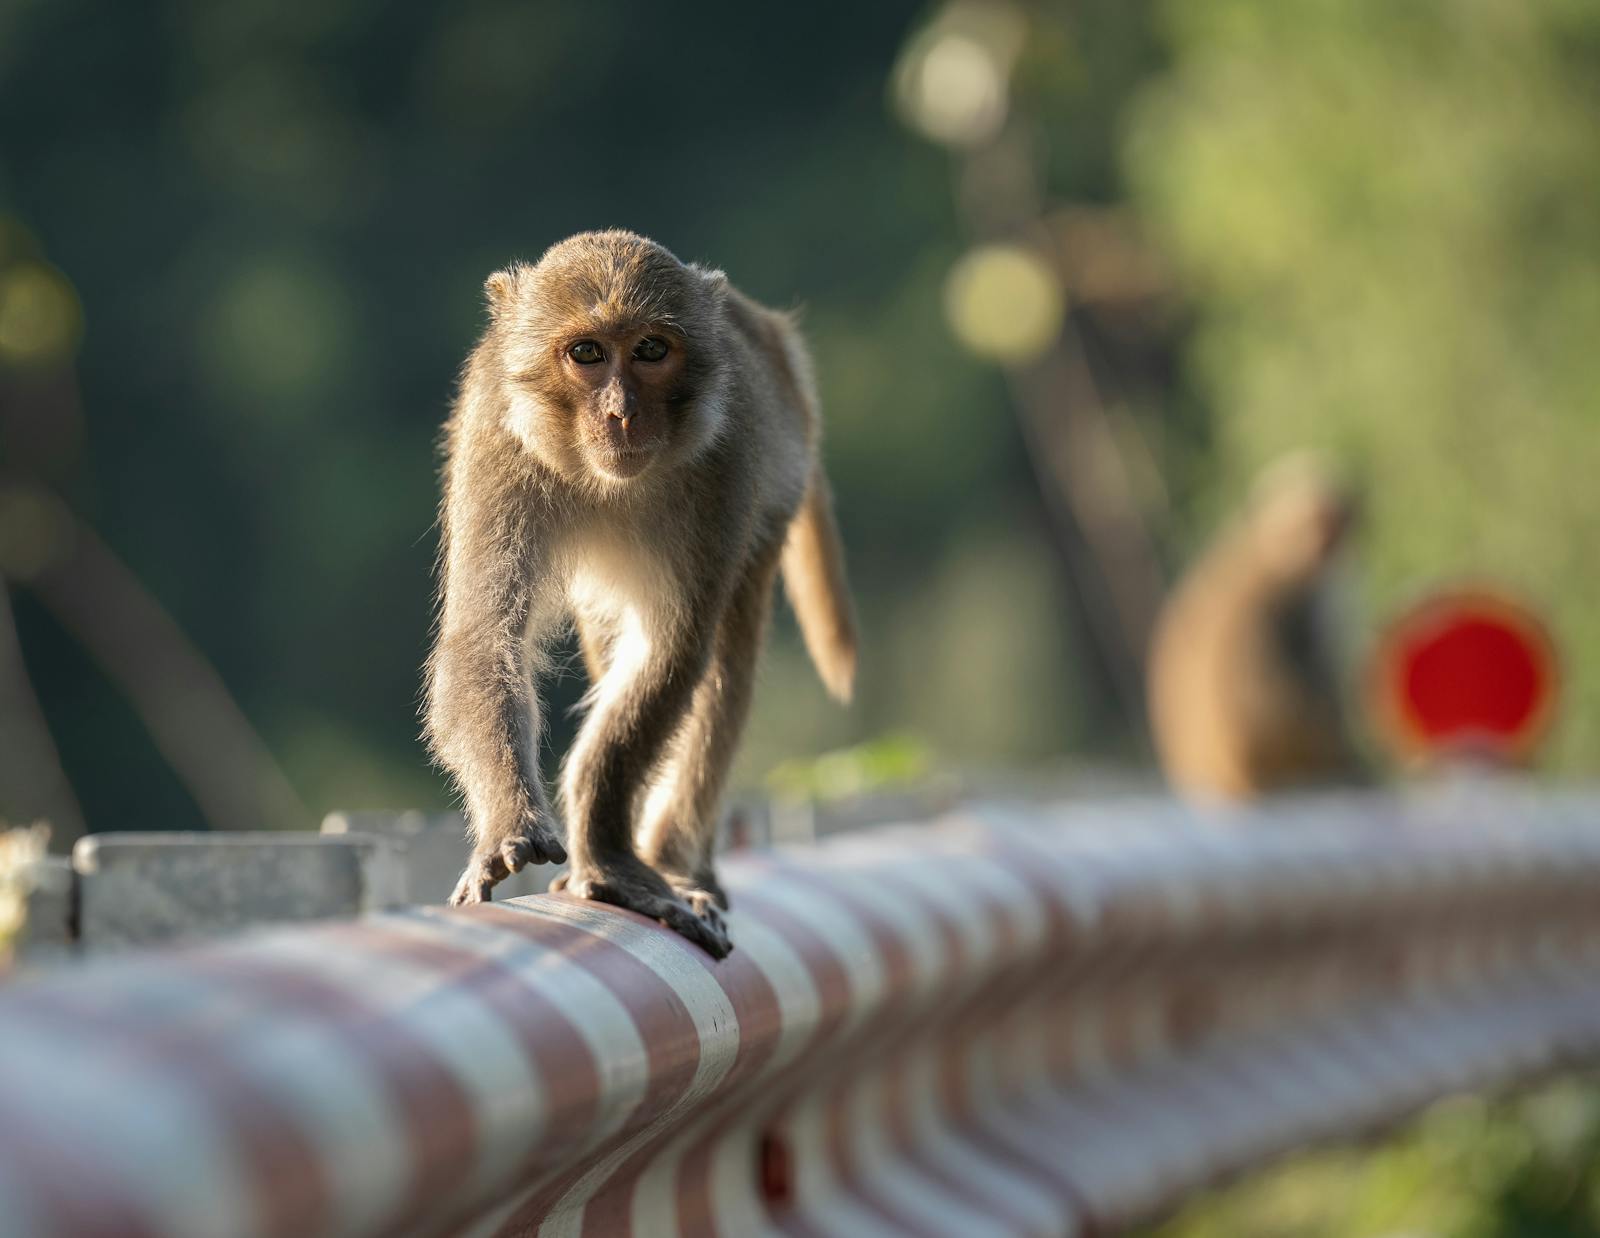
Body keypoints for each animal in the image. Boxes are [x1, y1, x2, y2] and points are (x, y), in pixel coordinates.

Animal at [423, 231, 857, 958]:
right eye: (587, 354)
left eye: (652, 350)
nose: (621, 414)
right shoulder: (497, 439)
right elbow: (485, 636)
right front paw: (510, 826)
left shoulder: (727, 462)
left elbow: (675, 651)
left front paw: (606, 857)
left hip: (776, 491)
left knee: (725, 666)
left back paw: (679, 863)